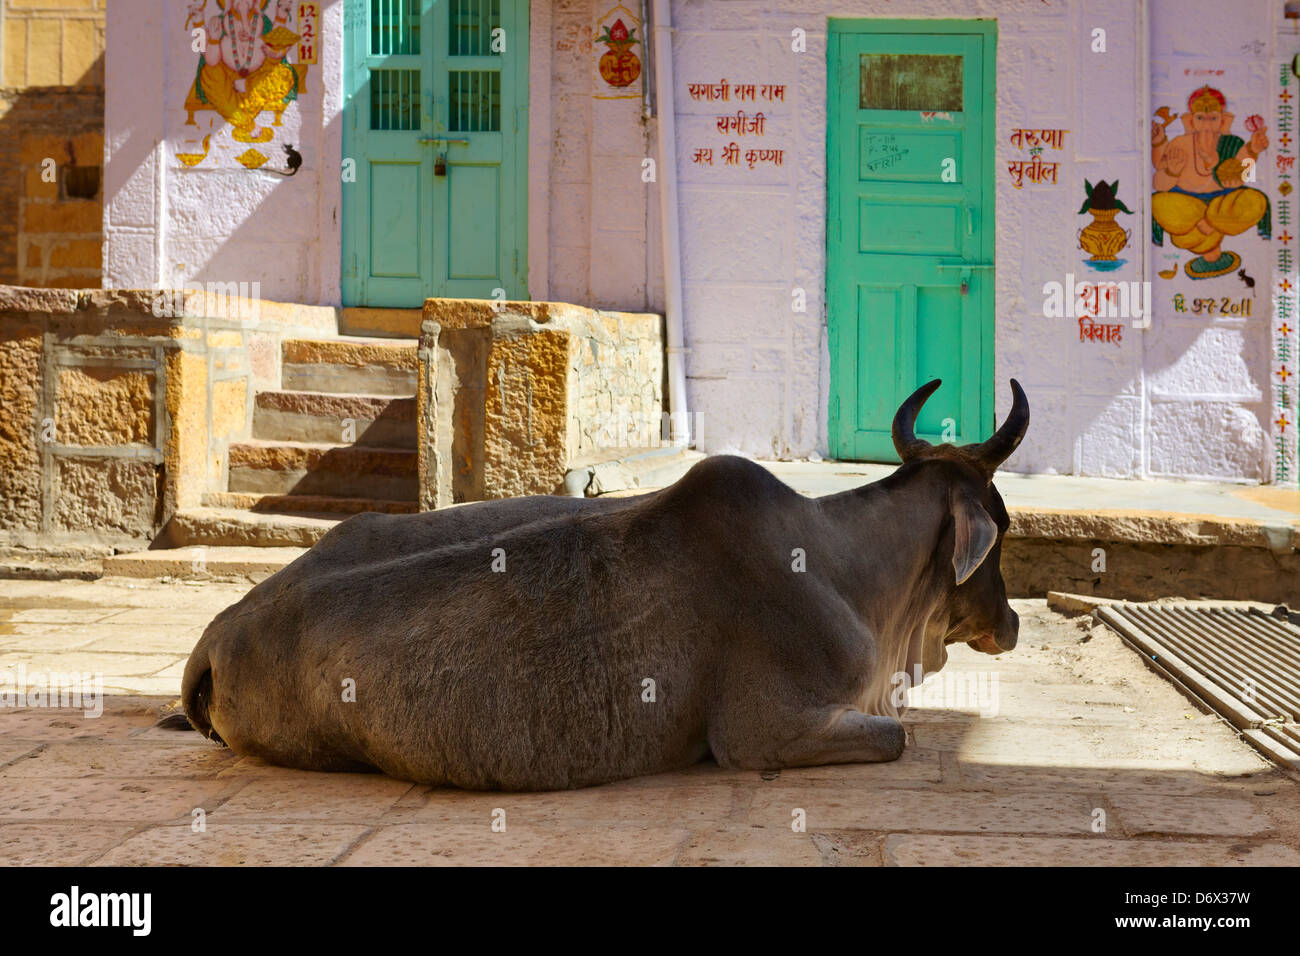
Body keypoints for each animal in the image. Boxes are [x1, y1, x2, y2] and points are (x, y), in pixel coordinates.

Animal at [177, 378, 1029, 791]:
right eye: (1003, 521)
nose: (1014, 623)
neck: (847, 570)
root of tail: (218, 634)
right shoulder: (766, 731)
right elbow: (896, 736)